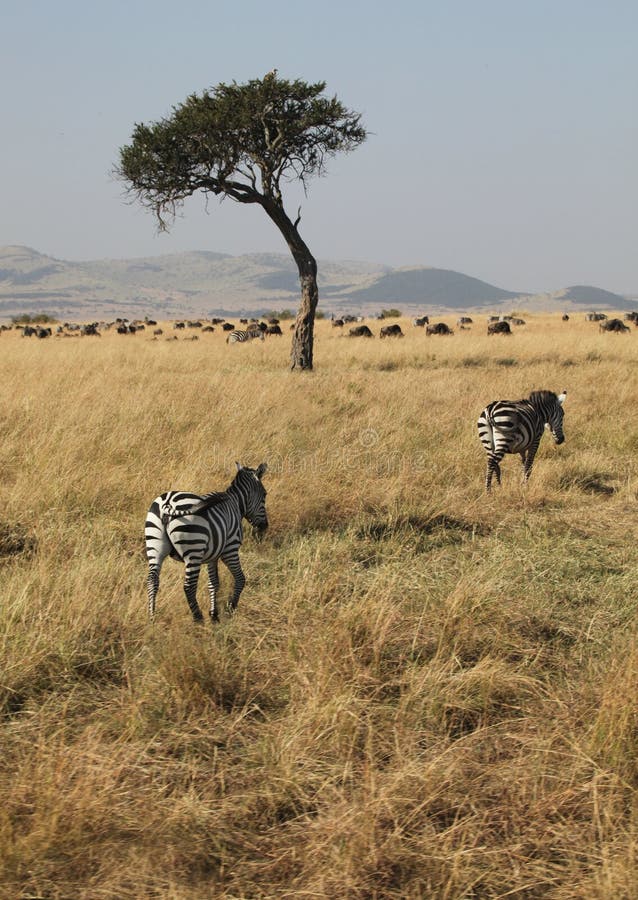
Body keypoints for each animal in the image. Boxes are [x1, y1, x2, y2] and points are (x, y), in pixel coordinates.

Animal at [144, 462, 268, 623]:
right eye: (264, 494)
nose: (264, 527)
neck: (236, 503)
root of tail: (168, 502)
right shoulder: (230, 549)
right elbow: (240, 578)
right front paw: (230, 609)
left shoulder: (212, 555)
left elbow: (213, 583)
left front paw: (214, 615)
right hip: (193, 549)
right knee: (189, 586)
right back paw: (198, 619)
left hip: (154, 545)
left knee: (152, 580)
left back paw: (152, 617)